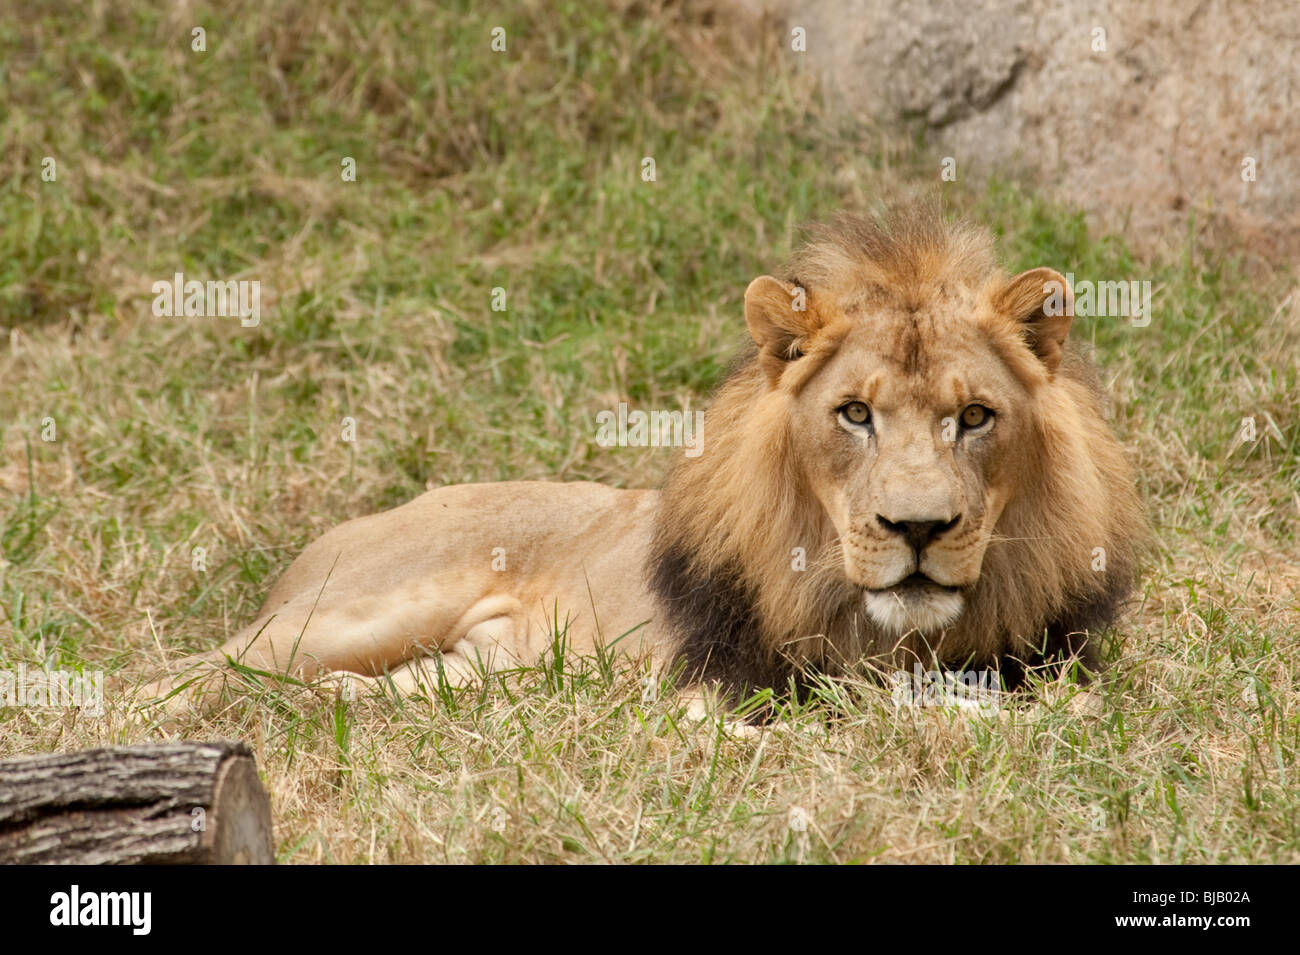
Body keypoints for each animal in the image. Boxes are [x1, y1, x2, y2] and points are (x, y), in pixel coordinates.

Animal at [143, 203, 1147, 716]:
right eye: (854, 413)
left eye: (974, 416)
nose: (919, 526)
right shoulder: (714, 685)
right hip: (347, 611)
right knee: (186, 671)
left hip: (466, 667)